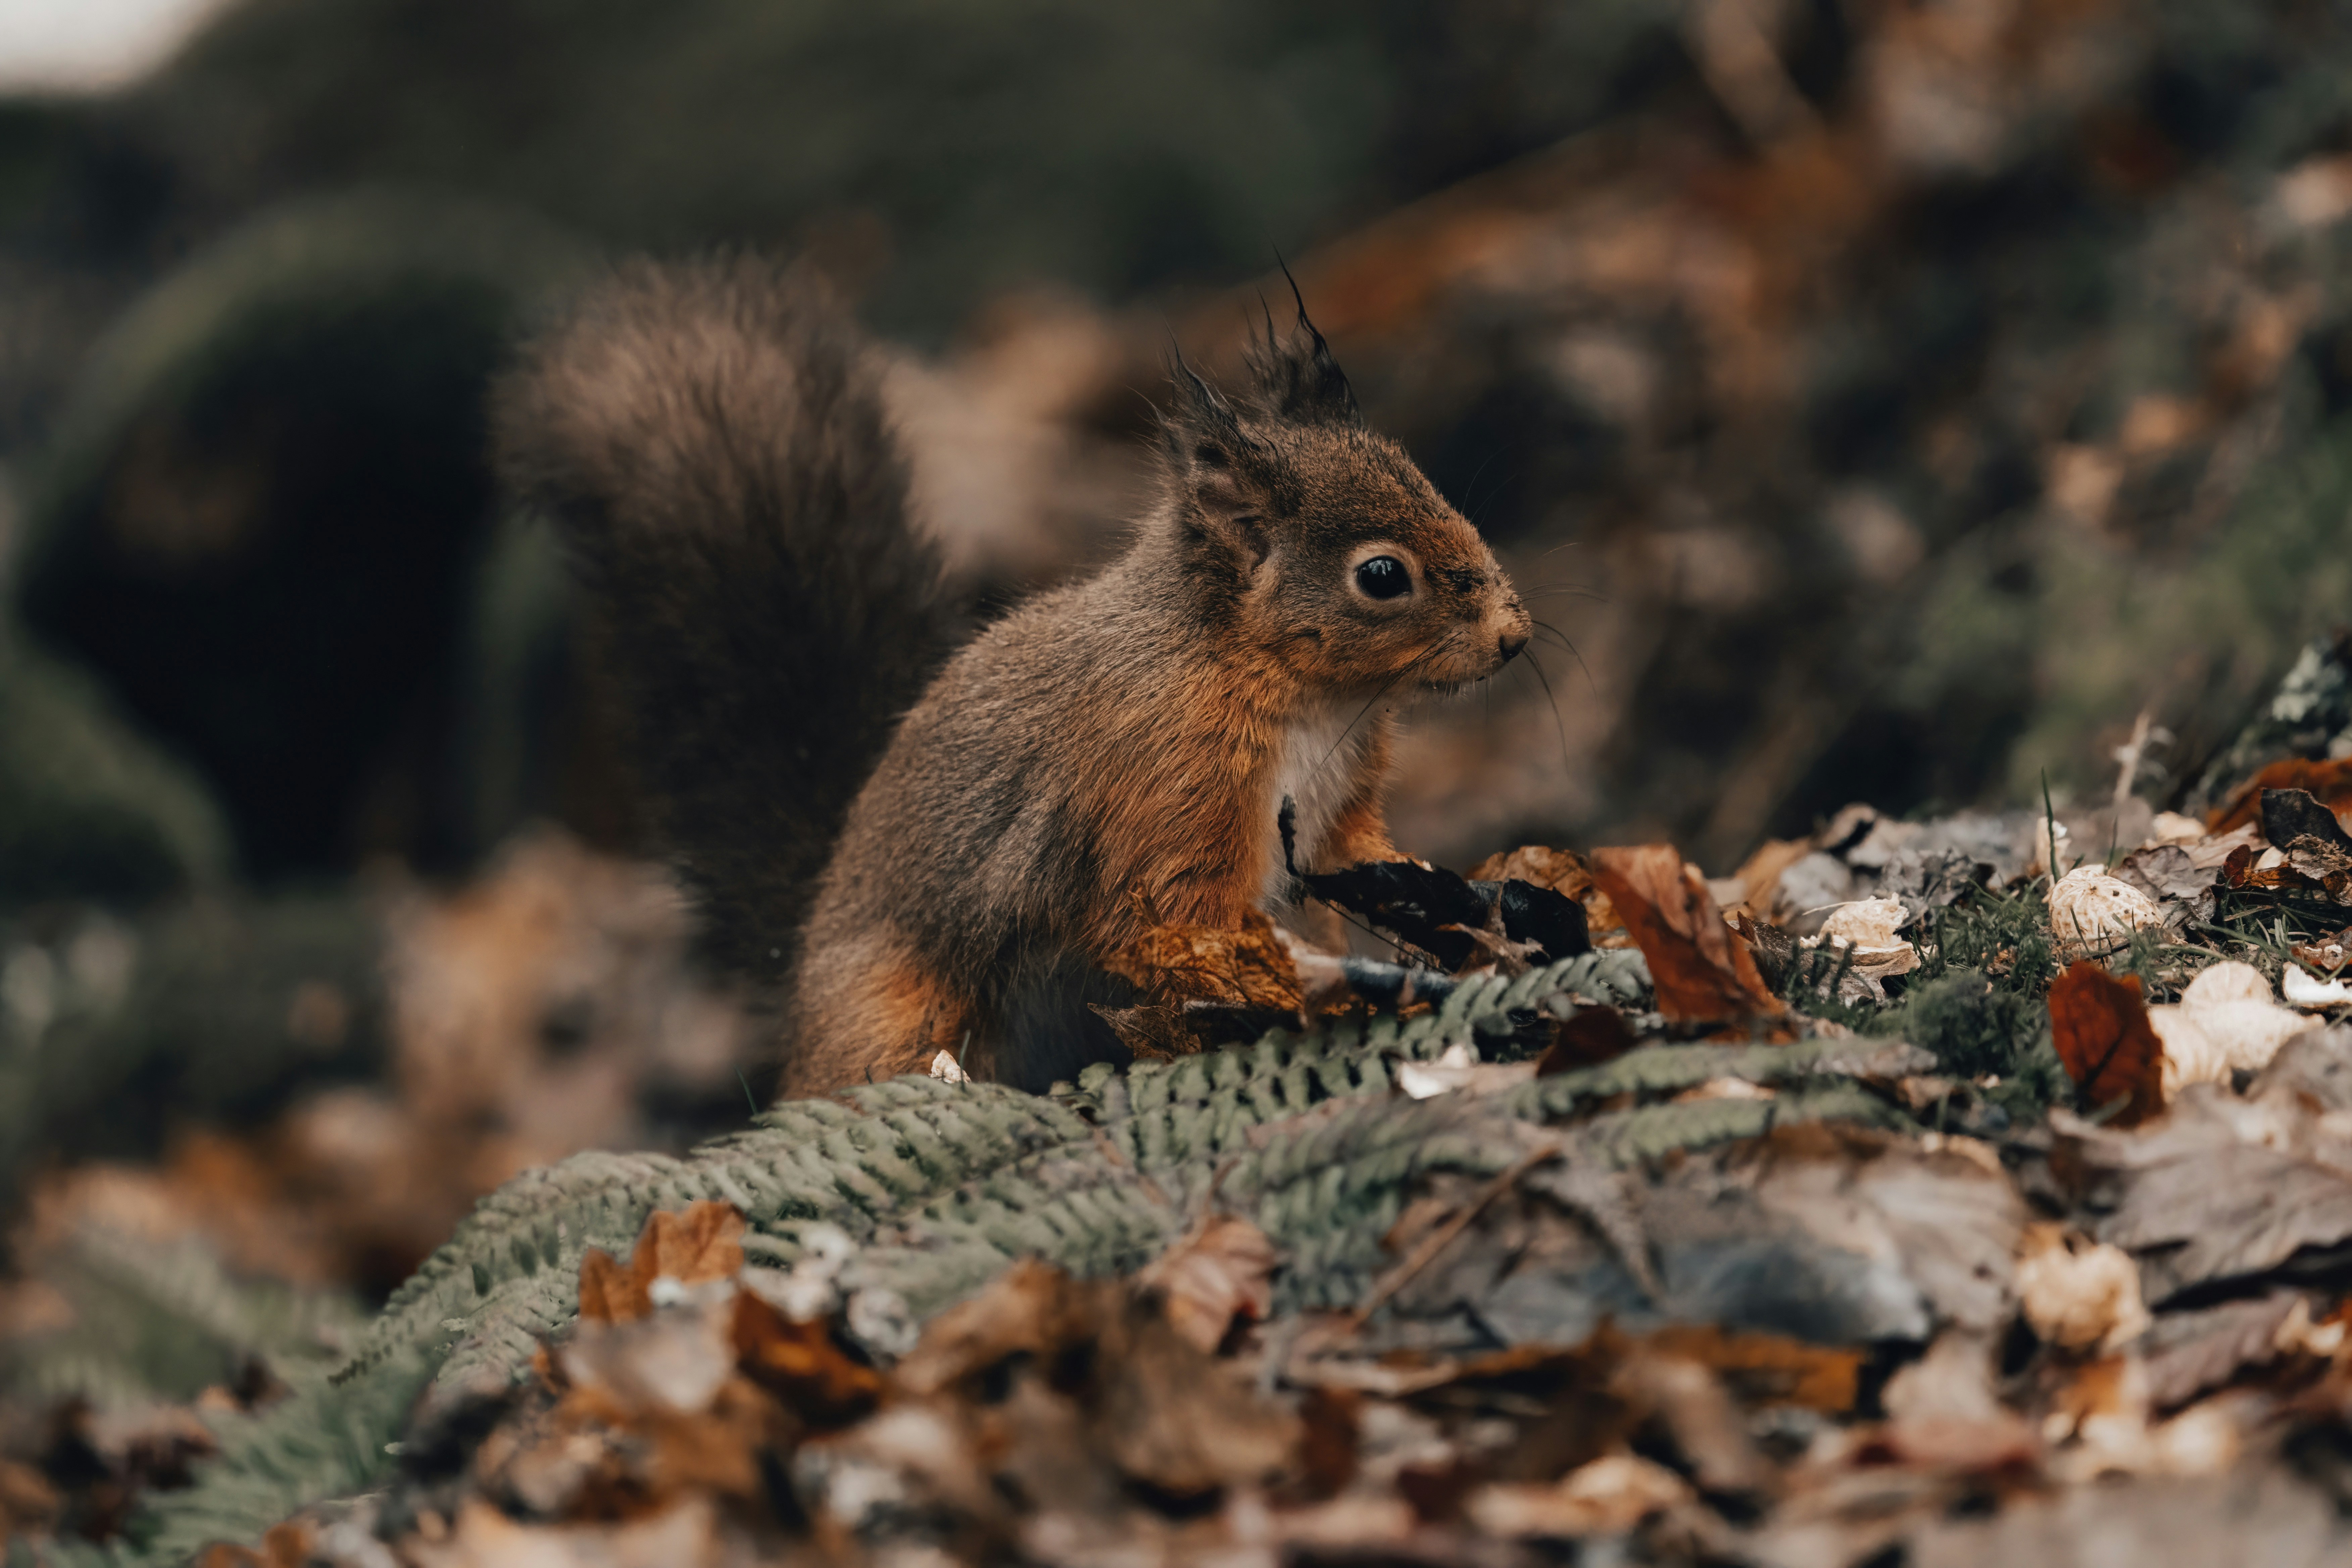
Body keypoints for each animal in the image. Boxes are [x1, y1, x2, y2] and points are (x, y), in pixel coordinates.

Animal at [495, 256, 1531, 1097]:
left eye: (1436, 489)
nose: (1516, 636)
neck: (1309, 698)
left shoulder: (1337, 808)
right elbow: (1176, 919)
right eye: (1382, 576)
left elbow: (1360, 857)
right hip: (898, 1015)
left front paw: (1452, 898)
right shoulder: (1164, 790)